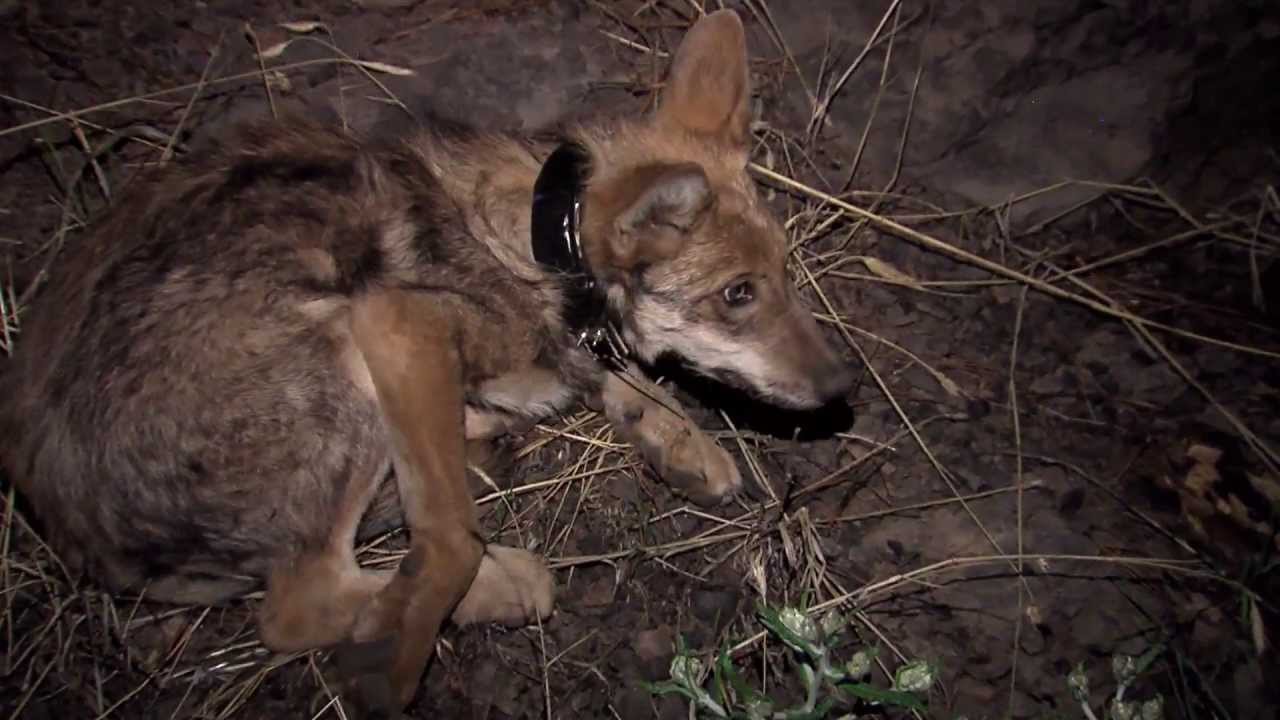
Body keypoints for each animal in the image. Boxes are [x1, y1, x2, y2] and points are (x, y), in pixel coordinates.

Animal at [1, 9, 853, 715]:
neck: (535, 240)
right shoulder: (401, 321)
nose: (844, 391)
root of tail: (75, 534)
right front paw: (405, 648)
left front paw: (684, 442)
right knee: (297, 607)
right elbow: (449, 533)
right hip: (342, 366)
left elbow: (626, 379)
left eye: (785, 273)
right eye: (737, 294)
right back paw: (493, 583)